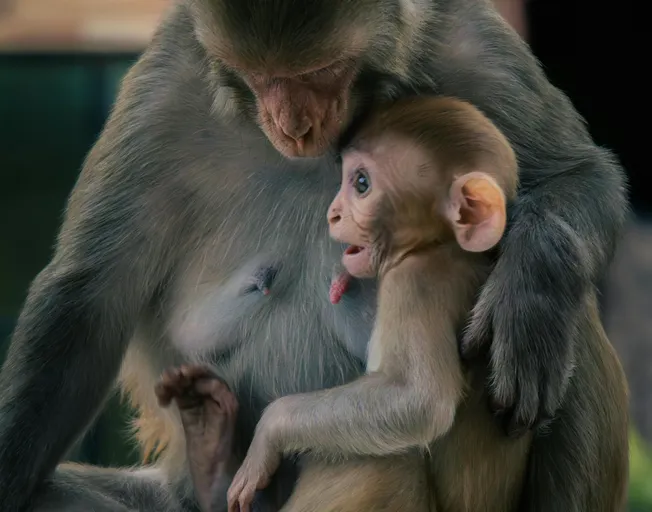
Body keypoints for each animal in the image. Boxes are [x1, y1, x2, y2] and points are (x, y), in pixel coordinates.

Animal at [0, 0, 629, 511]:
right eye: (260, 78)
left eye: (321, 72)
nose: (293, 126)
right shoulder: (167, 80)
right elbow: (89, 297)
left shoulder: (464, 35)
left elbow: (581, 176)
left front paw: (530, 293)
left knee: (564, 326)